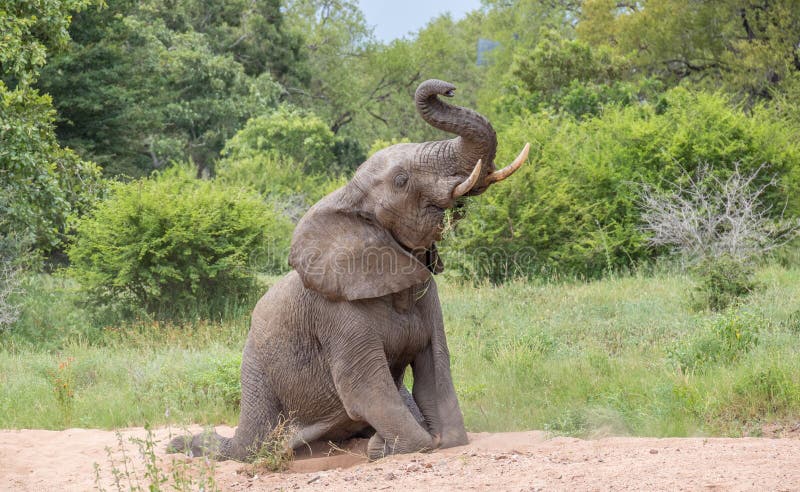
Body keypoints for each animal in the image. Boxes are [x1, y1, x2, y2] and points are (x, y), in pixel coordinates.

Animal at [169, 79, 529, 461]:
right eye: (401, 180)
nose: (448, 89)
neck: (347, 198)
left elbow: (435, 377)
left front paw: (396, 441)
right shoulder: (335, 314)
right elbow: (366, 387)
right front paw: (384, 447)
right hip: (257, 373)